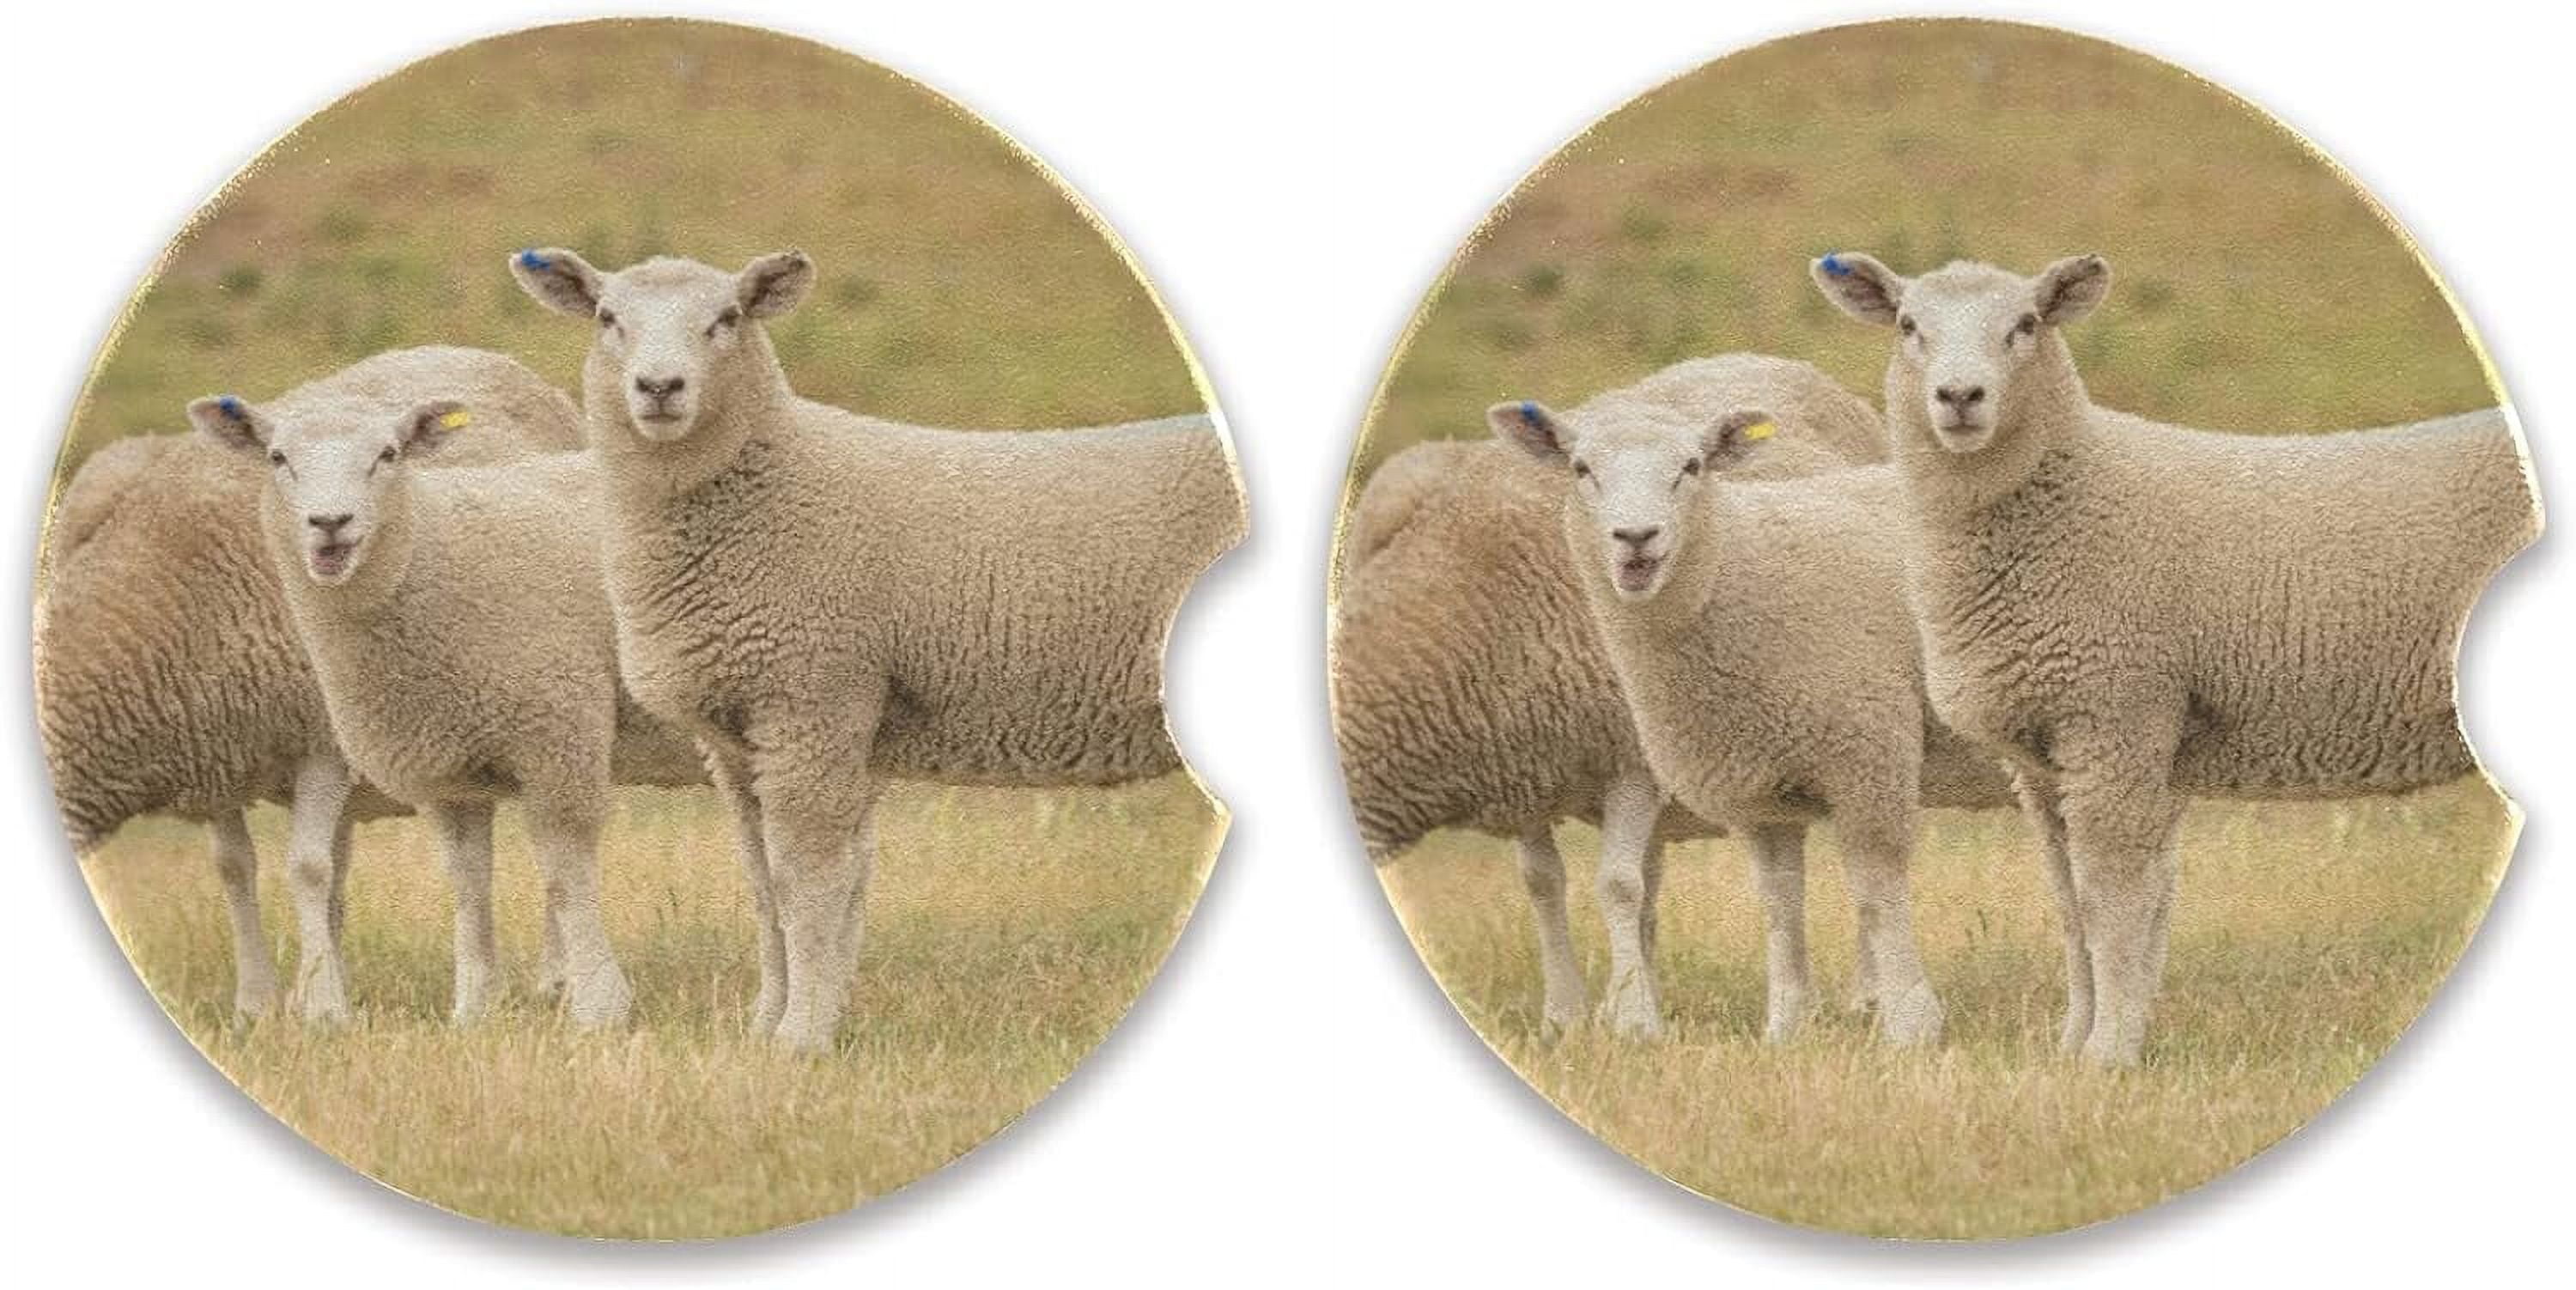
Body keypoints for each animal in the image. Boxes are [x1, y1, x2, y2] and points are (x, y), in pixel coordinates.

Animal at [36, 347, 586, 1024]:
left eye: (387, 455)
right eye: (276, 458)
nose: (329, 523)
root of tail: (505, 365)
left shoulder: (322, 744)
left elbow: (307, 868)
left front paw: (324, 1010)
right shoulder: (216, 751)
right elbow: (234, 869)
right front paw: (258, 1004)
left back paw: (556, 979)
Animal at [506, 246, 1245, 1052]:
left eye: (727, 318)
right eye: (608, 318)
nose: (660, 388)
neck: (766, 487)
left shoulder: (814, 697)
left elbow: (807, 882)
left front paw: (801, 1037)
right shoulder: (740, 731)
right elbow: (764, 882)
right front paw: (769, 1023)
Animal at [1330, 354, 1892, 1038]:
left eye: (1691, 468)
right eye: (1581, 469)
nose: (1636, 536)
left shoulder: (1633, 762)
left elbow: (1617, 886)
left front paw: (1634, 1022)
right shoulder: (1523, 765)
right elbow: (1544, 883)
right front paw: (1569, 1015)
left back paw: (1867, 997)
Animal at [1488, 393, 2017, 1045]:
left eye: (1691, 466)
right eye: (1582, 469)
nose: (1636, 537)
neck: (1737, 565)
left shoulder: (1868, 751)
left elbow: (1876, 891)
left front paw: (1911, 1024)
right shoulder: (1761, 786)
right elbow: (1779, 904)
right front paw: (1786, 1029)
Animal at [1812, 250, 2541, 1066]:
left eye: (2025, 325)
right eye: (1909, 326)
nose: (1960, 397)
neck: (2068, 495)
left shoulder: (2117, 714)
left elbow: (2113, 901)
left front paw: (2109, 1054)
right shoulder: (2047, 750)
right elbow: (2070, 901)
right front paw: (2074, 1043)